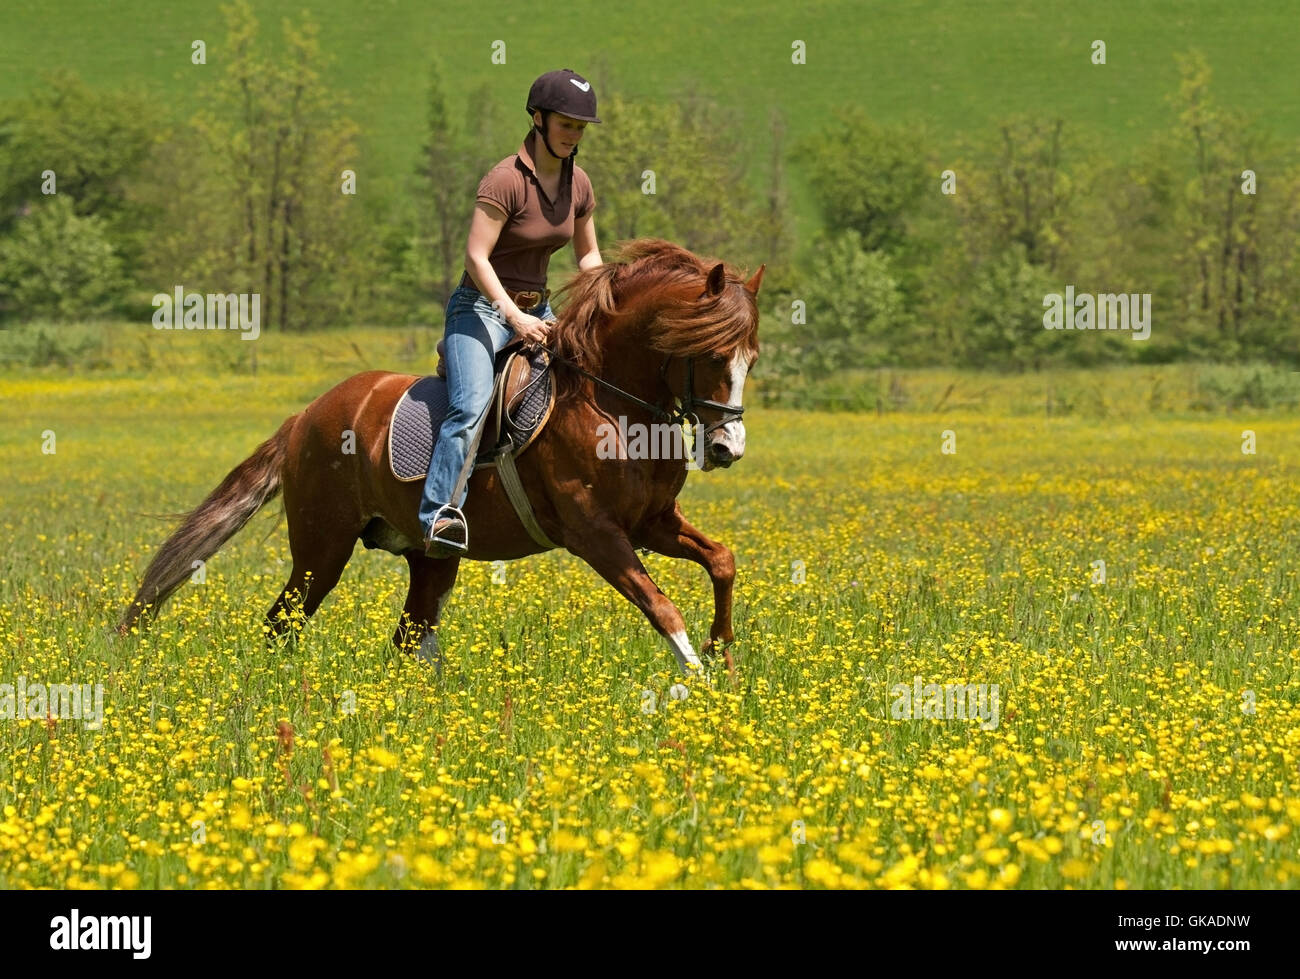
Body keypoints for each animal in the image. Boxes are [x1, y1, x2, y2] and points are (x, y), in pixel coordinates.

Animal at [117, 238, 764, 686]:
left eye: (751, 358)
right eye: (711, 353)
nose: (727, 449)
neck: (610, 401)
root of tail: (304, 416)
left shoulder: (651, 522)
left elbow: (723, 561)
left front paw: (723, 657)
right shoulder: (596, 534)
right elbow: (661, 607)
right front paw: (699, 684)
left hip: (430, 558)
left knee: (407, 638)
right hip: (322, 548)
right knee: (283, 622)